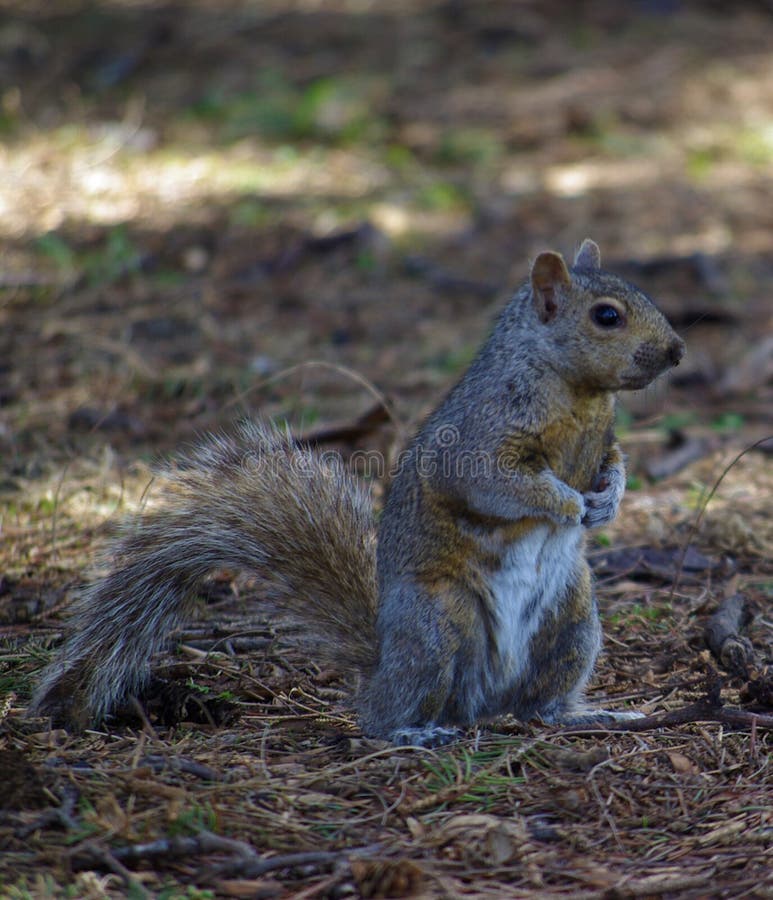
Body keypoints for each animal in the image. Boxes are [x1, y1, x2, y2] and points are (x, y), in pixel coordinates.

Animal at [31, 239, 685, 746]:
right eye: (606, 316)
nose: (678, 350)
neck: (579, 392)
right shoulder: (481, 440)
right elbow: (501, 483)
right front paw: (570, 504)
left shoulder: (602, 443)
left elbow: (615, 462)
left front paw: (610, 498)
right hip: (436, 625)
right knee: (382, 715)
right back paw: (415, 730)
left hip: (573, 622)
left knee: (536, 706)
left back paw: (588, 715)